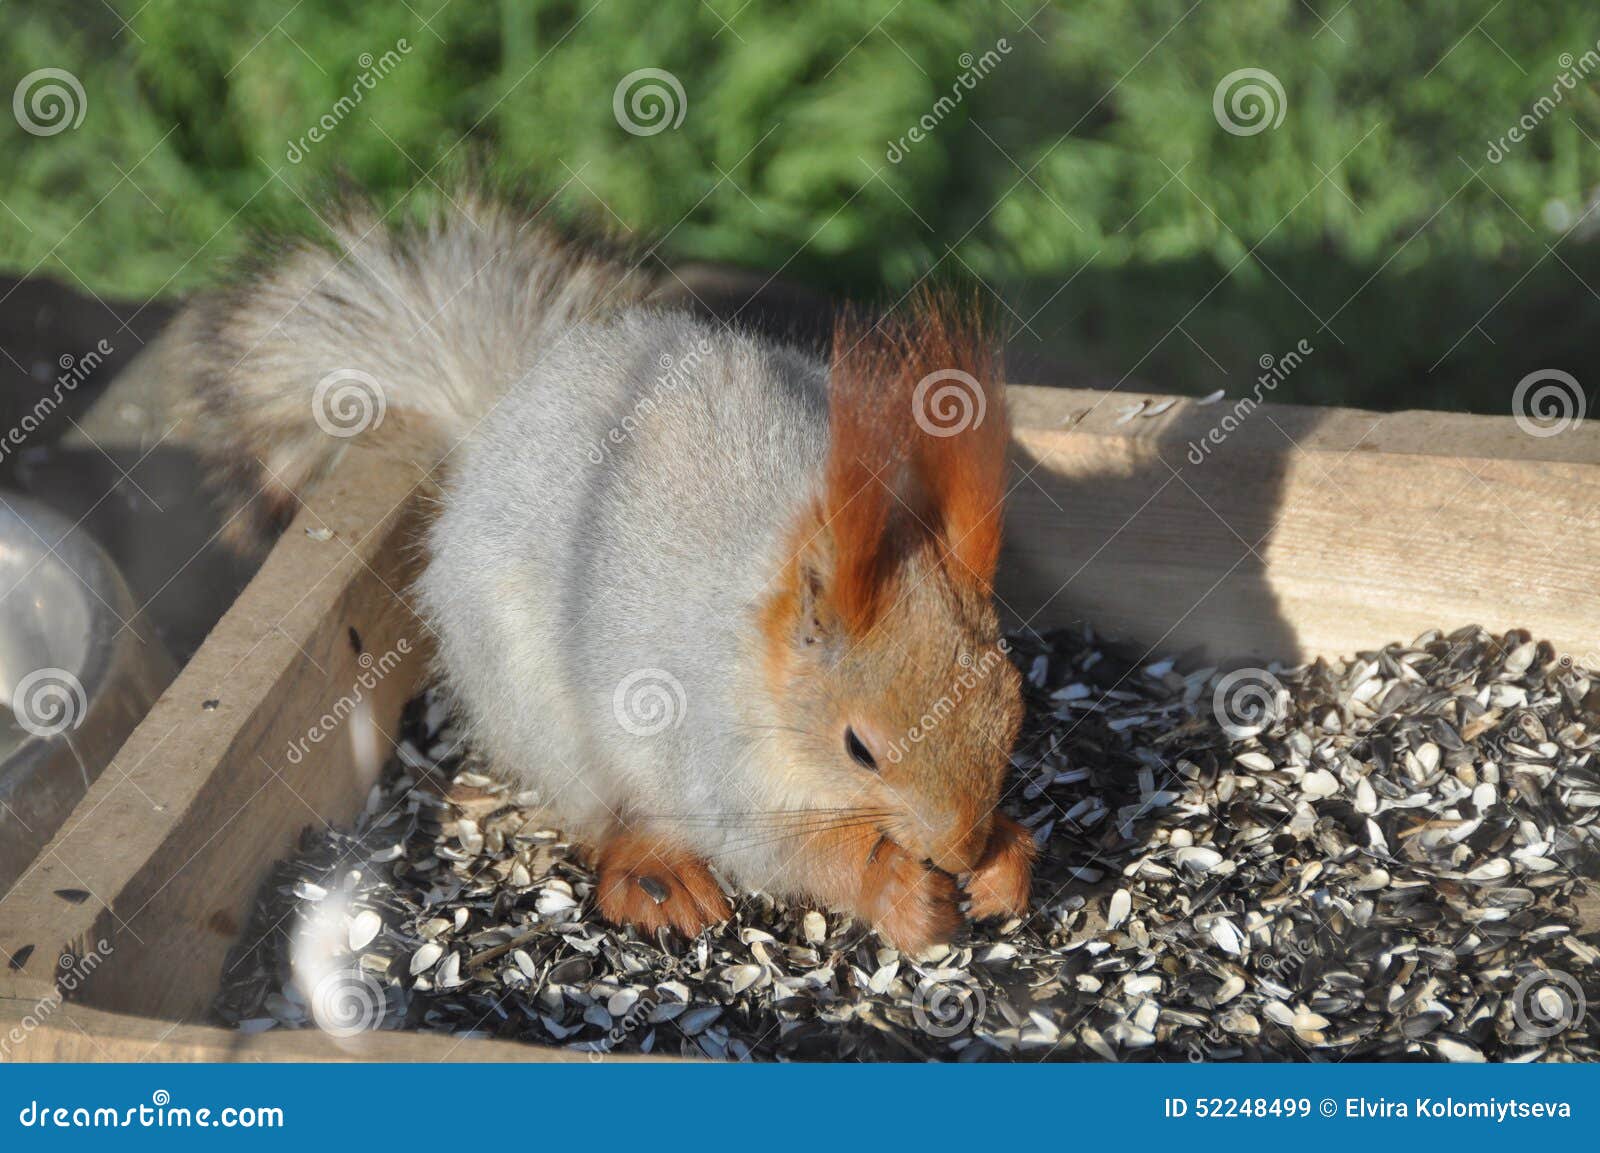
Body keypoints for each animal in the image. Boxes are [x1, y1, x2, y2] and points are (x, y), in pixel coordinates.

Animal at [174, 193, 1035, 952]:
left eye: (1011, 700)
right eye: (859, 748)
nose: (958, 851)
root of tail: (500, 424)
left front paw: (1006, 858)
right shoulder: (715, 756)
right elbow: (782, 851)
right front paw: (898, 890)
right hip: (543, 713)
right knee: (602, 817)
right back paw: (655, 874)